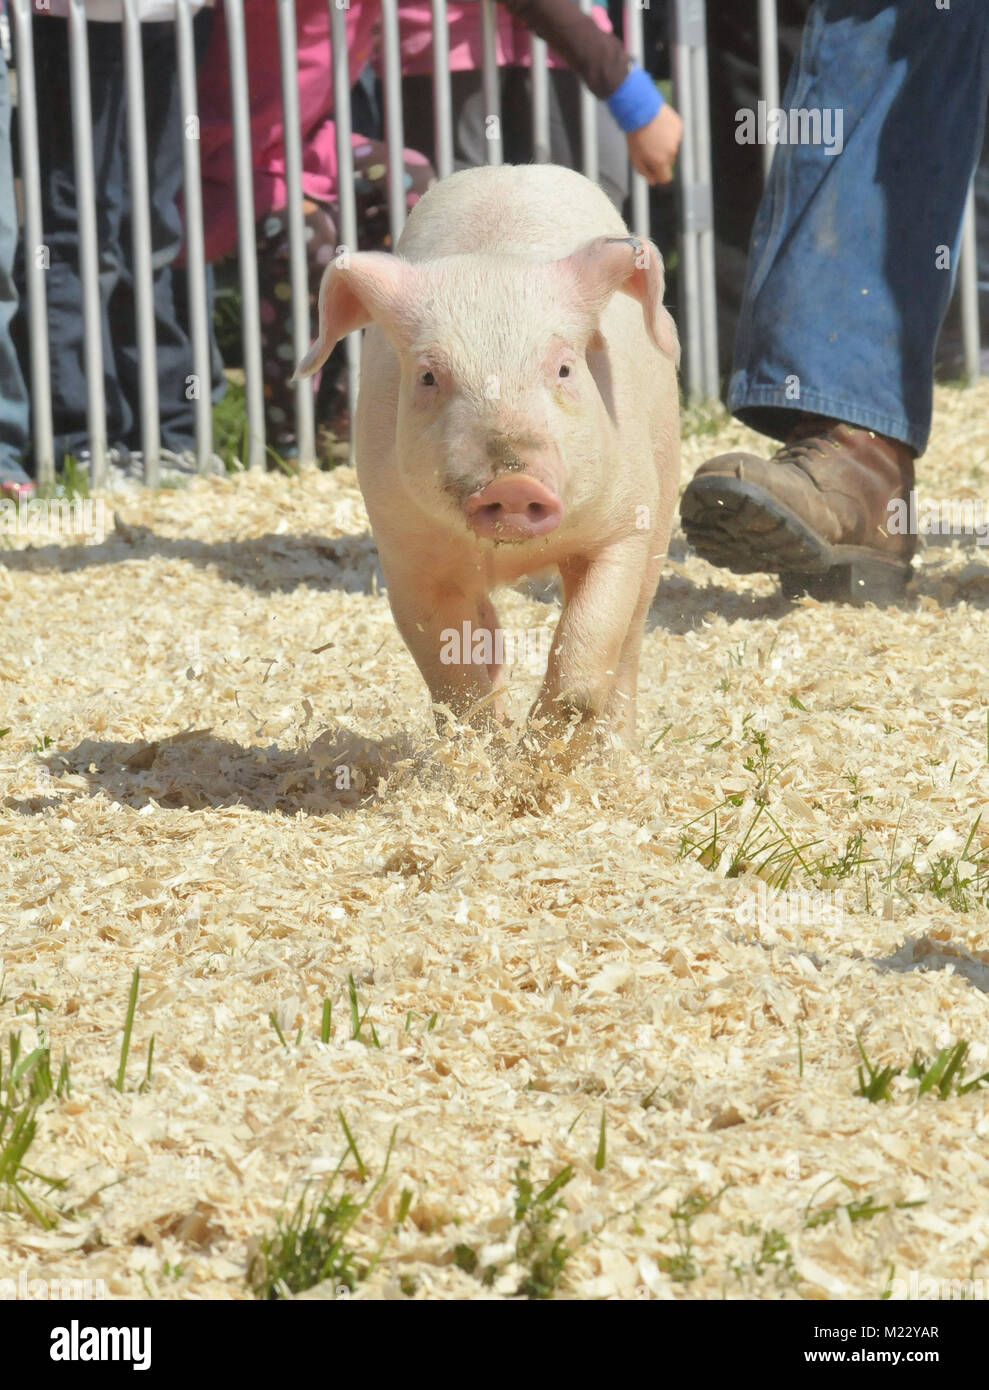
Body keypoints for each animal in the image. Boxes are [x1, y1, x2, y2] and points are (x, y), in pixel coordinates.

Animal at [295, 163, 680, 750]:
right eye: (428, 376)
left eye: (564, 368)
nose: (512, 485)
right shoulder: (404, 549)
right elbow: (452, 674)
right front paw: (491, 751)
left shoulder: (623, 520)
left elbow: (587, 655)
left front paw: (541, 750)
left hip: (664, 485)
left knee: (632, 638)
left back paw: (619, 757)